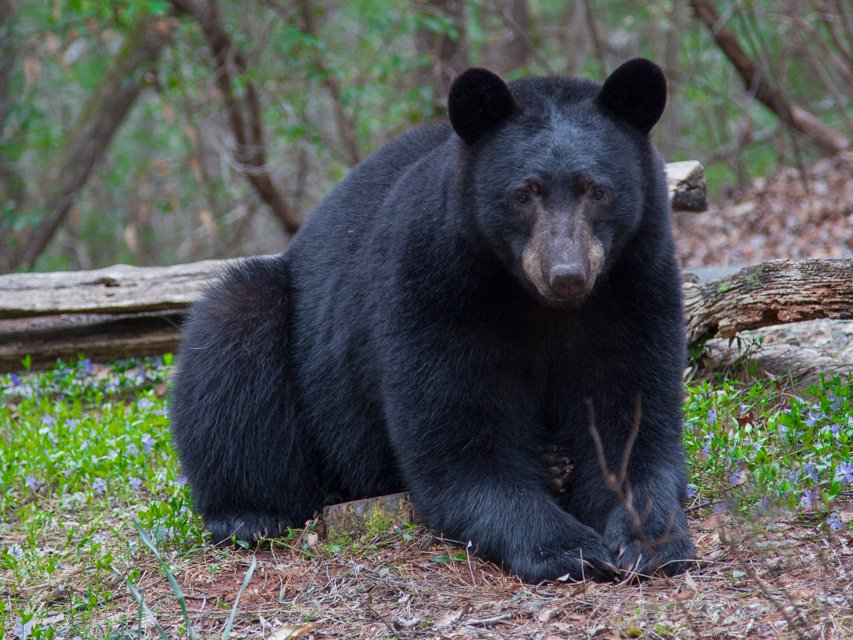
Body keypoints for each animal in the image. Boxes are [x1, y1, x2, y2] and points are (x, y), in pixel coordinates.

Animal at [170, 58, 695, 583]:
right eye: (524, 194)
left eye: (598, 191)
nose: (566, 274)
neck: (540, 304)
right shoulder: (434, 288)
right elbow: (459, 437)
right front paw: (567, 548)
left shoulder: (635, 289)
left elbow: (630, 416)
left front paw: (649, 540)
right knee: (231, 351)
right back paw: (250, 513)